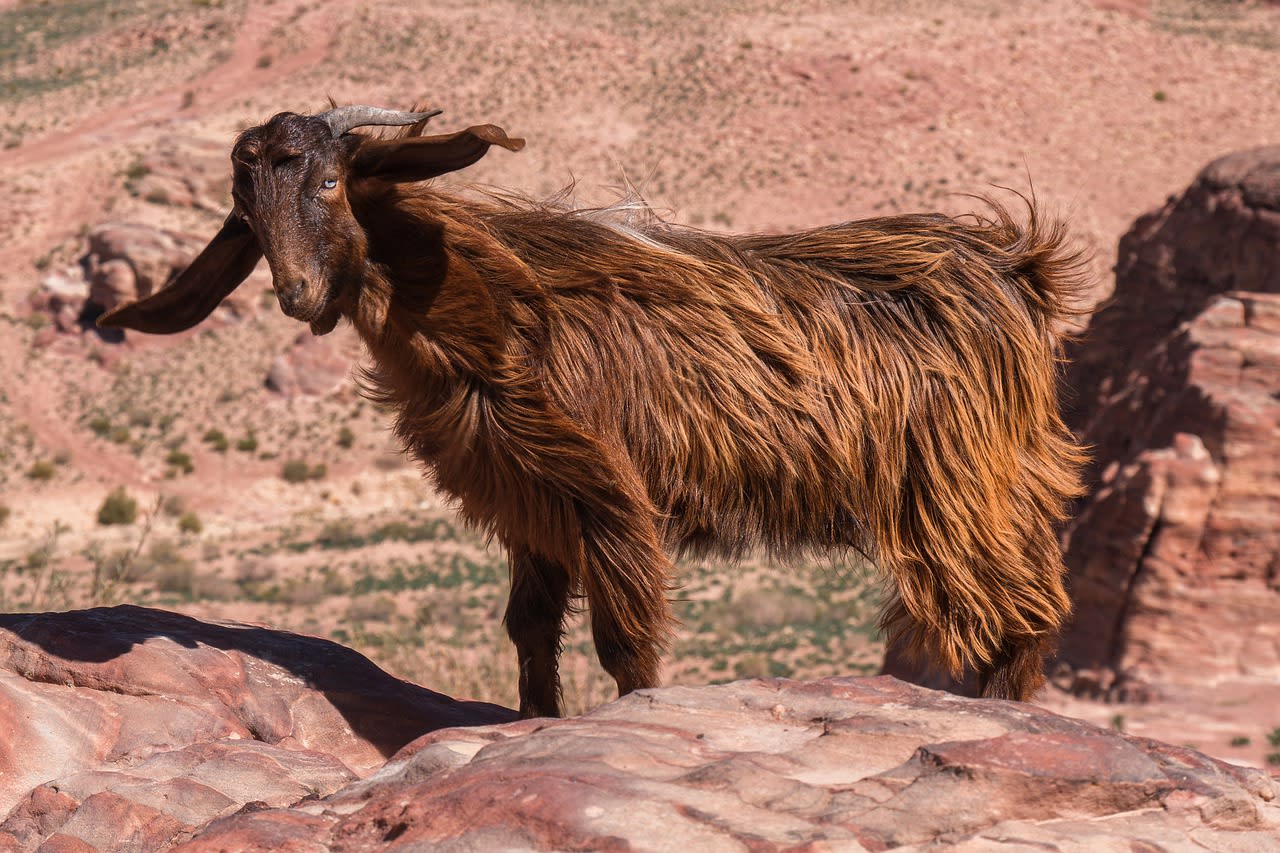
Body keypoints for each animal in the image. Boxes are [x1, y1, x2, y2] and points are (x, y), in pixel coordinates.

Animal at [100, 105, 1088, 717]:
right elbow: (531, 626)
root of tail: (1014, 268)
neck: (480, 304)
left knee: (1021, 603)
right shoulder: (527, 498)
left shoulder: (606, 491)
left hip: (964, 485)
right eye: (245, 207)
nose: (297, 295)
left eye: (331, 184)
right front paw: (532, 717)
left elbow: (626, 639)